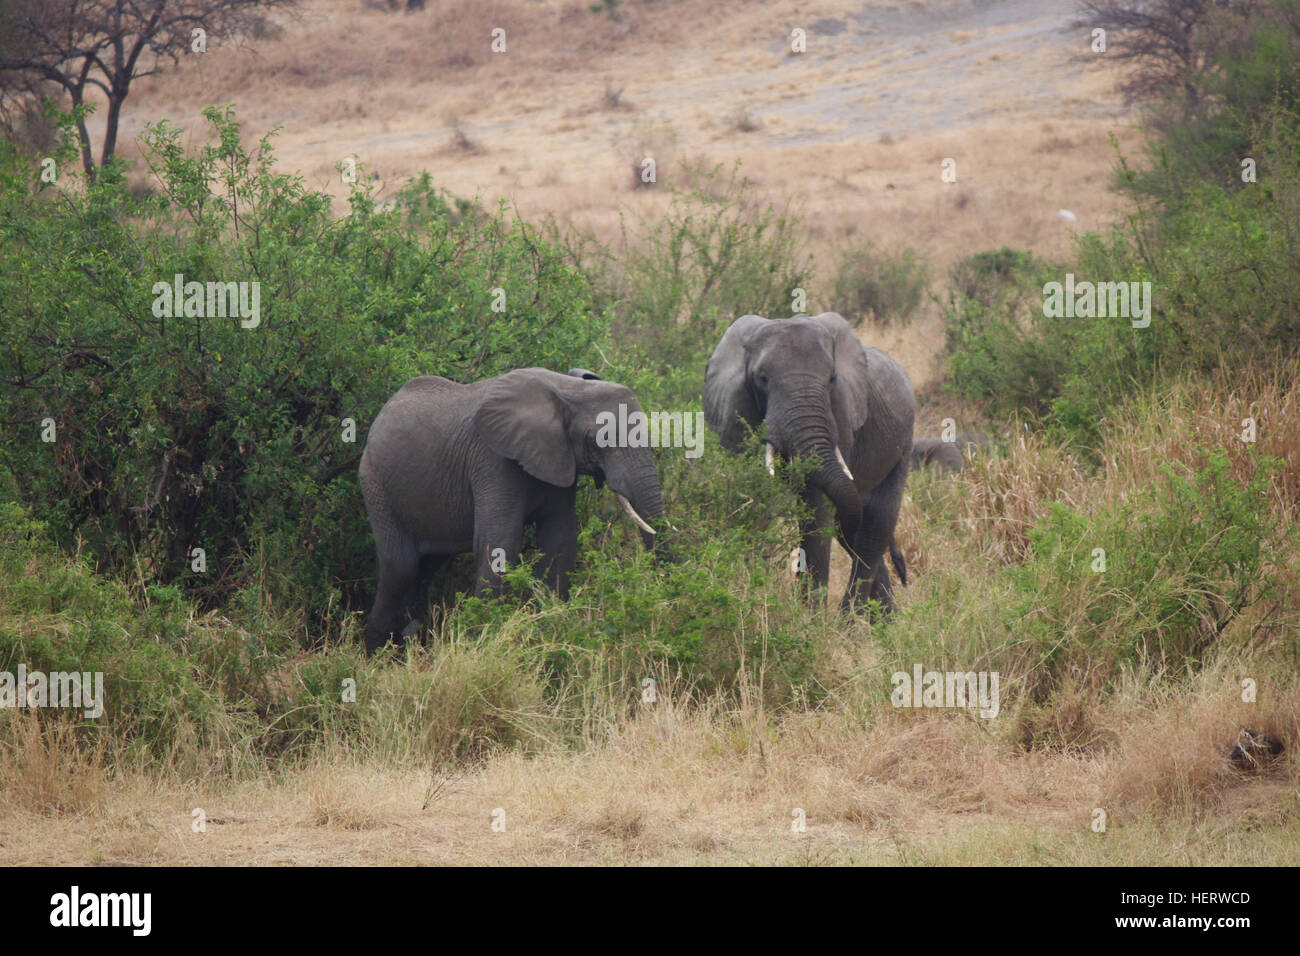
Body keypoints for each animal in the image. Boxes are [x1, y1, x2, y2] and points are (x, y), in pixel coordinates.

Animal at [360, 367, 667, 653]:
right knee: (400, 567)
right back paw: (377, 657)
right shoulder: (492, 459)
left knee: (424, 567)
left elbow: (559, 539)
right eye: (599, 439)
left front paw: (551, 625)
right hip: (375, 484)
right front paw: (484, 639)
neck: (568, 389)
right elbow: (499, 542)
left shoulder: (558, 458)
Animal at [704, 312, 915, 612]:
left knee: (875, 526)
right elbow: (752, 499)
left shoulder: (841, 415)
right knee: (854, 529)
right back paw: (883, 619)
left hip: (904, 442)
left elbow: (817, 509)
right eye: (762, 378)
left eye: (832, 379)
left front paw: (811, 620)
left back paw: (849, 619)